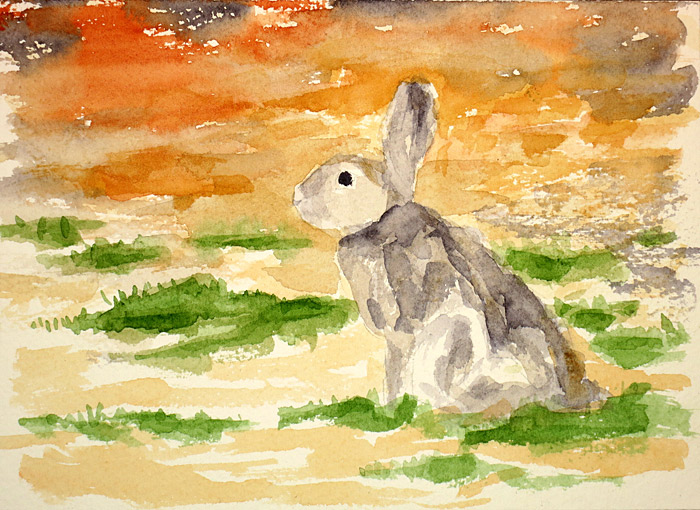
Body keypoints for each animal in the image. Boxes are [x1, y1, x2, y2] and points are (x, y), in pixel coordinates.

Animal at [293, 81, 603, 413]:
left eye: (345, 177)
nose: (297, 196)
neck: (380, 220)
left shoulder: (402, 317)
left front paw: (391, 407)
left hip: (453, 346)